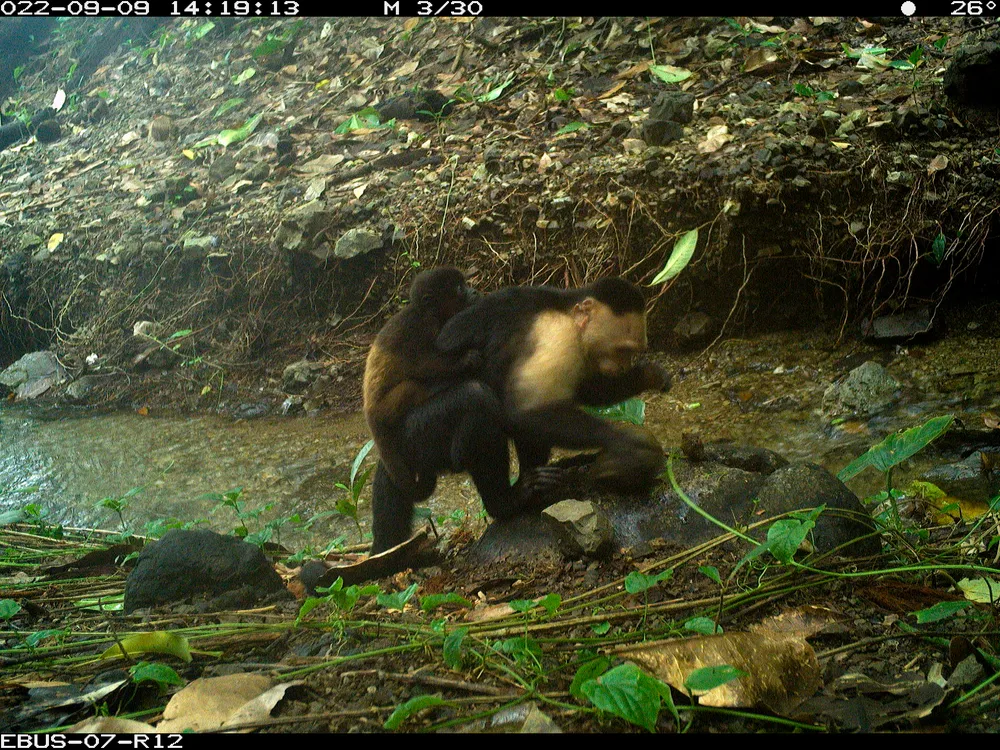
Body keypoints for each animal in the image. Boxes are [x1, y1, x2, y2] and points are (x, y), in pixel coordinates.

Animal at [363, 267, 481, 497]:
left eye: (464, 284)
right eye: (459, 288)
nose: (473, 290)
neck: (427, 313)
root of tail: (369, 414)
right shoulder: (422, 329)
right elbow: (422, 365)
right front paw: (466, 359)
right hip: (384, 409)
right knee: (411, 386)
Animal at [435, 276, 672, 493]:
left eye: (634, 352)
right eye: (623, 350)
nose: (624, 367)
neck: (568, 314)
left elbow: (589, 391)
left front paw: (650, 375)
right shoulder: (558, 338)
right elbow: (527, 411)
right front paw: (628, 444)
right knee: (483, 402)